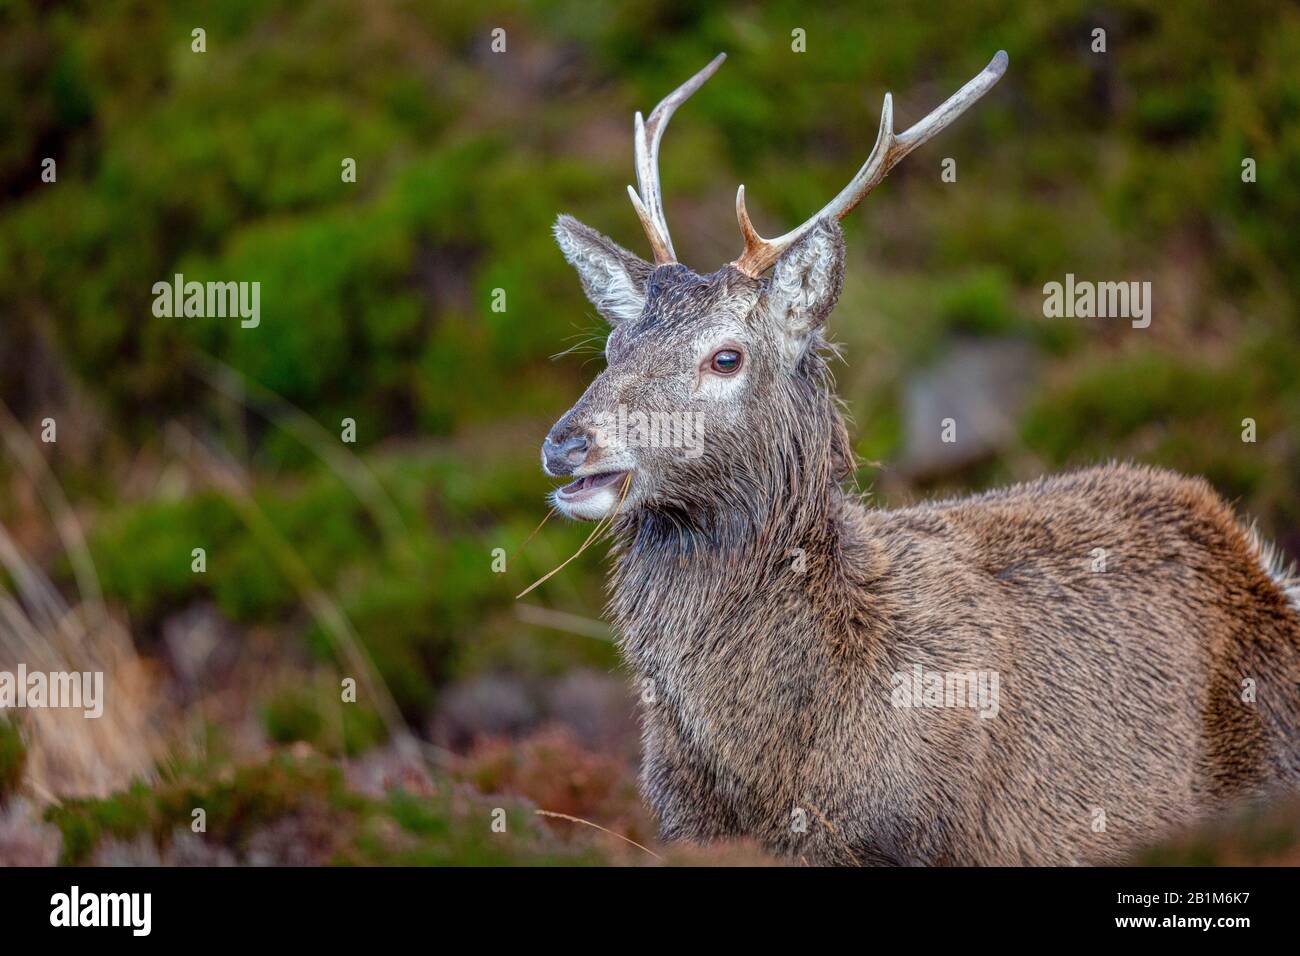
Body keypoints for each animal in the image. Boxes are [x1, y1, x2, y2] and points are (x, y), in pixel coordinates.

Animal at [538, 51, 1300, 865]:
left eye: (726, 357)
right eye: (613, 346)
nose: (566, 442)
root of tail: (1258, 566)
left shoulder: (918, 840)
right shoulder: (682, 827)